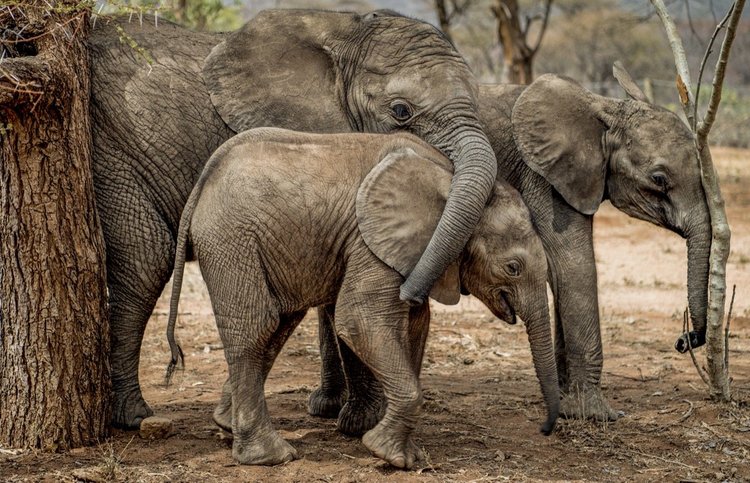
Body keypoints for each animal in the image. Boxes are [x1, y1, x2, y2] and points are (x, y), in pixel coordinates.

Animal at [89, 9, 498, 428]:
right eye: (402, 111)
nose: (413, 293)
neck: (346, 33)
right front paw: (361, 421)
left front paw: (330, 409)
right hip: (113, 153)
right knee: (146, 259)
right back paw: (134, 415)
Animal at [164, 128, 559, 468]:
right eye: (513, 268)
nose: (545, 429)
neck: (450, 180)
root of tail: (203, 182)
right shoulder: (372, 243)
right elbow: (359, 317)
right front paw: (393, 457)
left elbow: (416, 325)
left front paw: (399, 448)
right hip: (231, 239)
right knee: (256, 328)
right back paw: (272, 457)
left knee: (277, 325)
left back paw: (226, 424)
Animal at [311, 69, 710, 428]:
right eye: (659, 179)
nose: (686, 339)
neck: (601, 107)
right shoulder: (541, 174)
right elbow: (571, 265)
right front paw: (596, 415)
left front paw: (566, 400)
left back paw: (328, 407)